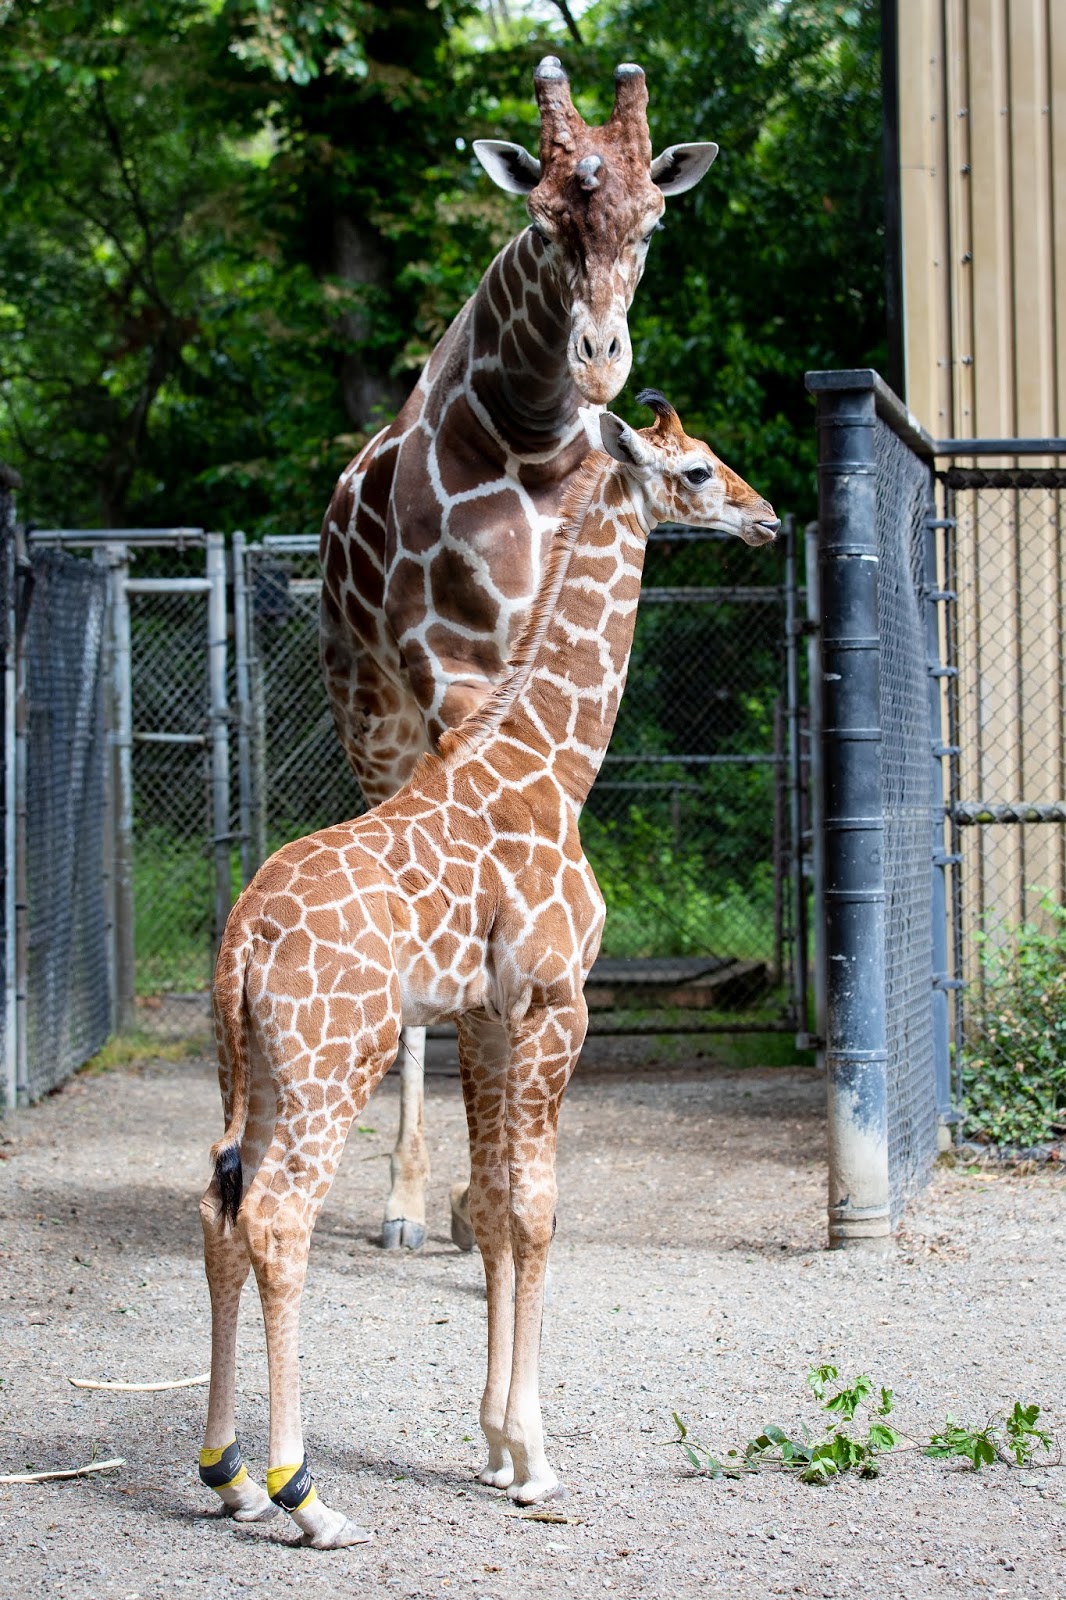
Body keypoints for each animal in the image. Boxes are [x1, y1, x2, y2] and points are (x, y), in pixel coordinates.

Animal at [199, 393, 778, 1548]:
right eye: (696, 470)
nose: (769, 519)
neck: (557, 759)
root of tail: (245, 931)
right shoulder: (559, 1003)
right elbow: (539, 1208)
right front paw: (536, 1461)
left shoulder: (491, 1011)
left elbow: (503, 1204)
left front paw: (497, 1445)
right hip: (339, 1058)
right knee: (277, 1217)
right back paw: (303, 1494)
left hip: (265, 1068)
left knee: (220, 1206)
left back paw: (228, 1474)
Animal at [319, 55, 720, 1251]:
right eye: (543, 223)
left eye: (651, 223)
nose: (601, 361)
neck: (528, 443)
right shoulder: (451, 670)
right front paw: (456, 1196)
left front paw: (486, 1194)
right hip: (375, 727)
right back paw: (404, 1198)